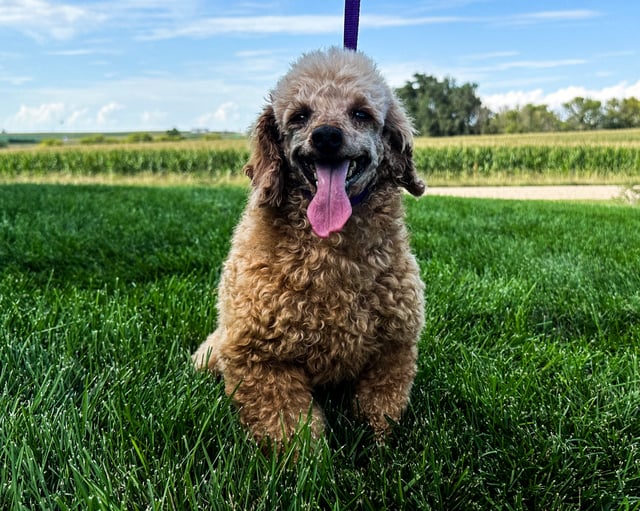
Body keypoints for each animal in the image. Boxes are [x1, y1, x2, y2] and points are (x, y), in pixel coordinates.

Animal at [192, 48, 428, 448]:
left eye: (360, 113)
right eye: (301, 115)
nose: (327, 136)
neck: (329, 248)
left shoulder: (393, 348)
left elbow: (380, 408)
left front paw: (378, 444)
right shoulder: (259, 357)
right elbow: (289, 426)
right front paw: (307, 459)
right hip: (214, 350)